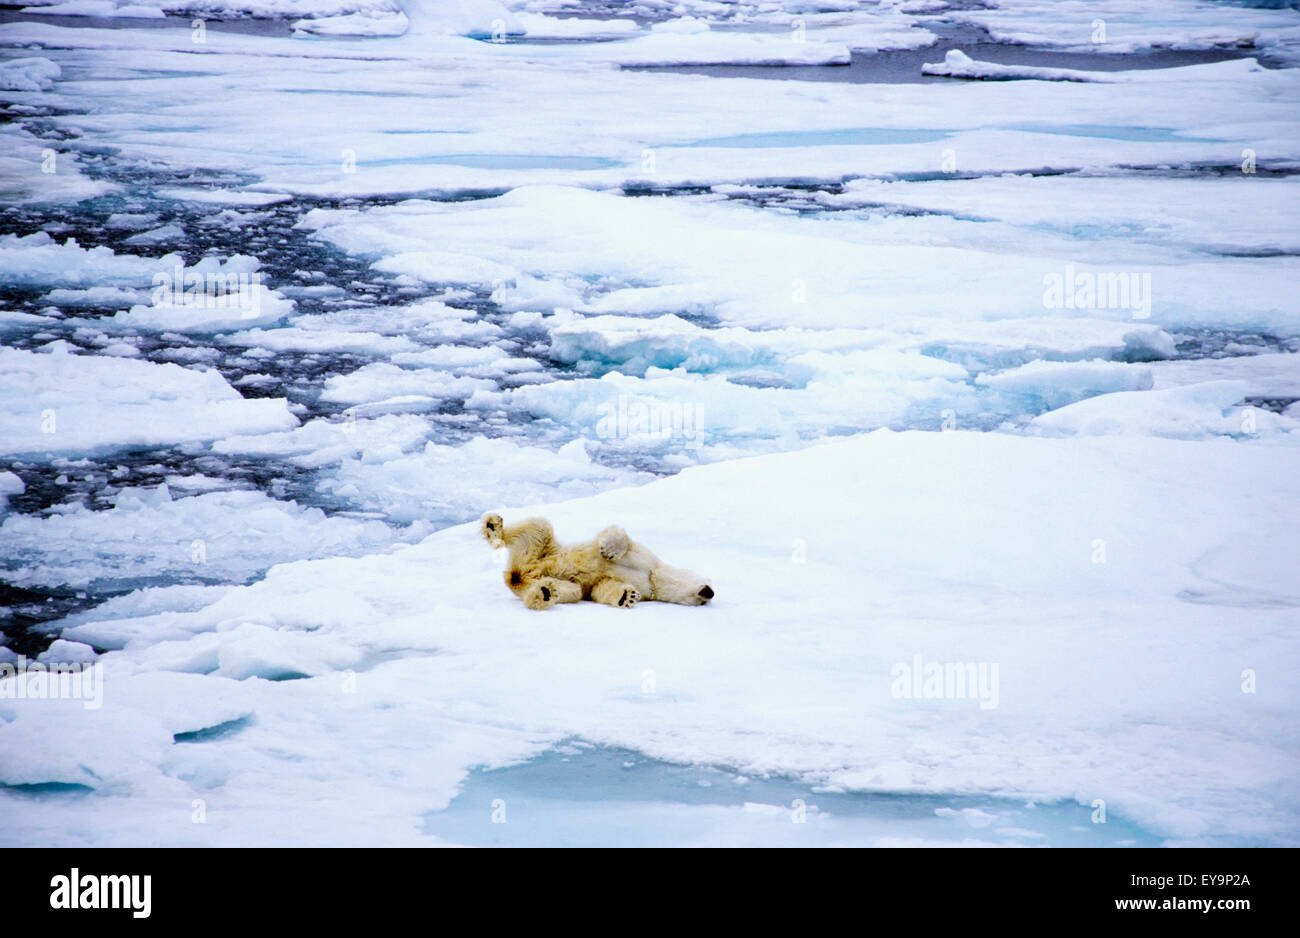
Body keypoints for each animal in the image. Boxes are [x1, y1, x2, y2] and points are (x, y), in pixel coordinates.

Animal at [480, 512, 714, 611]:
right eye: (710, 583)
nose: (709, 593)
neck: (653, 576)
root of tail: (519, 572)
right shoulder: (644, 557)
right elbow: (620, 540)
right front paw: (609, 549)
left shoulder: (644, 586)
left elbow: (602, 587)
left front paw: (627, 597)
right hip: (544, 548)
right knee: (538, 526)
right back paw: (493, 526)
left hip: (545, 573)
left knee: (568, 590)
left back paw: (544, 592)